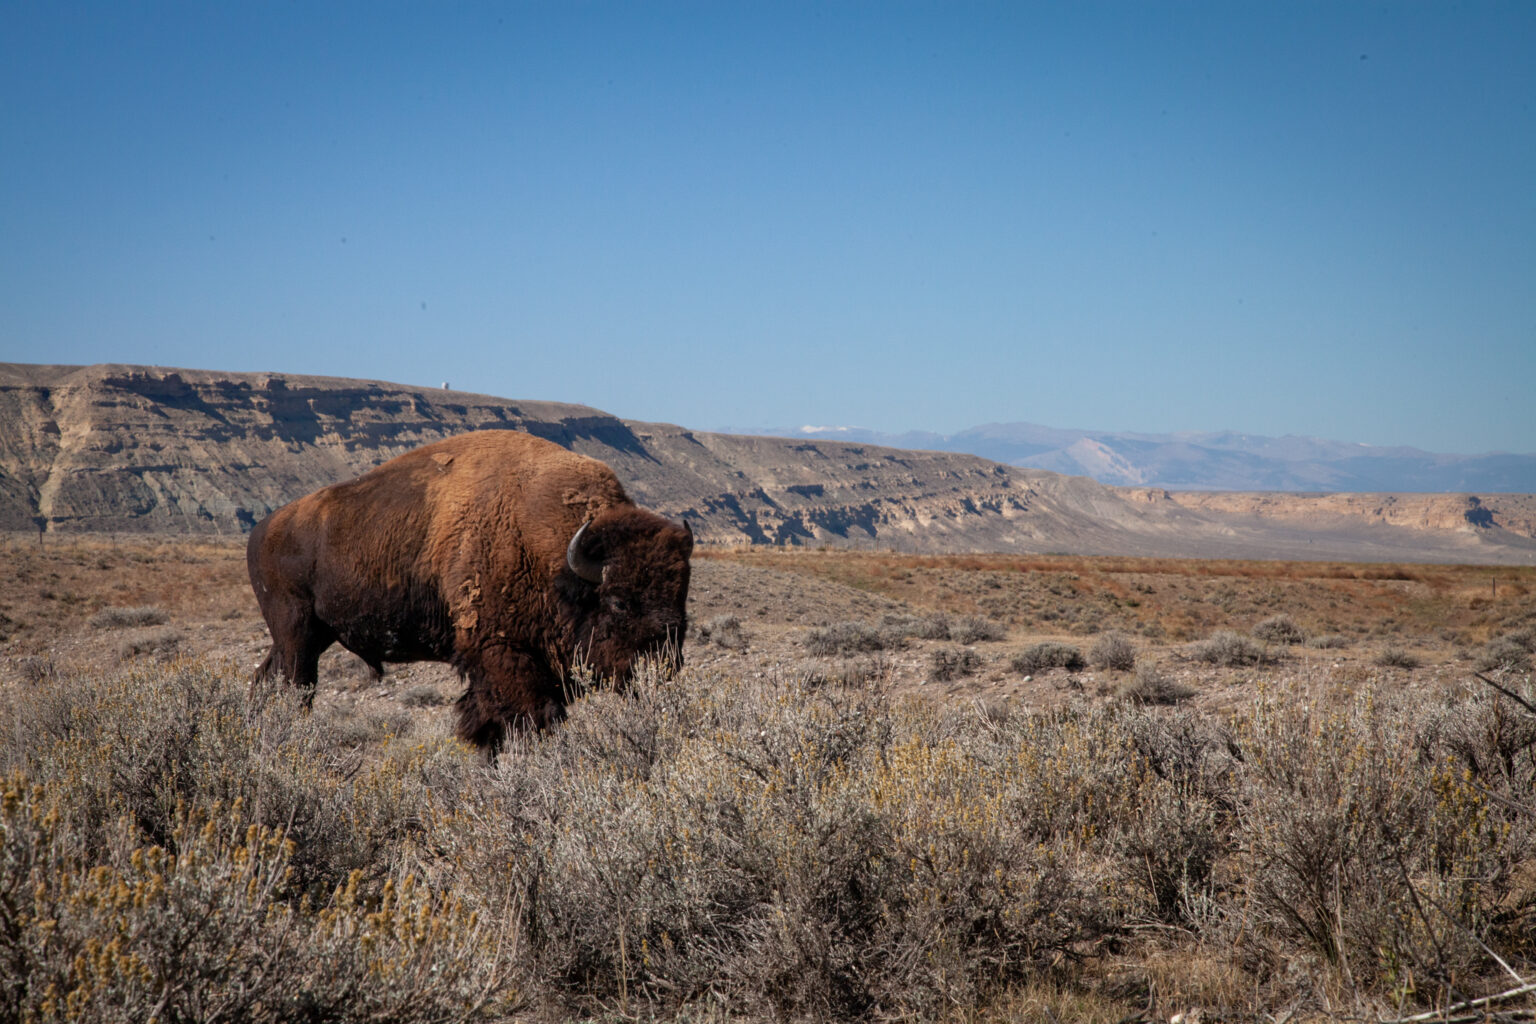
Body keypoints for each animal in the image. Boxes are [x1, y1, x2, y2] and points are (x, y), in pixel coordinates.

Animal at [246, 430, 693, 750]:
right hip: (296, 630)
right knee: (296, 688)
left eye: (682, 596)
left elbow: (485, 722)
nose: (663, 666)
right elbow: (526, 717)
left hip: (311, 634)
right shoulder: (501, 653)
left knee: (265, 679)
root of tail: (262, 529)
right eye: (618, 601)